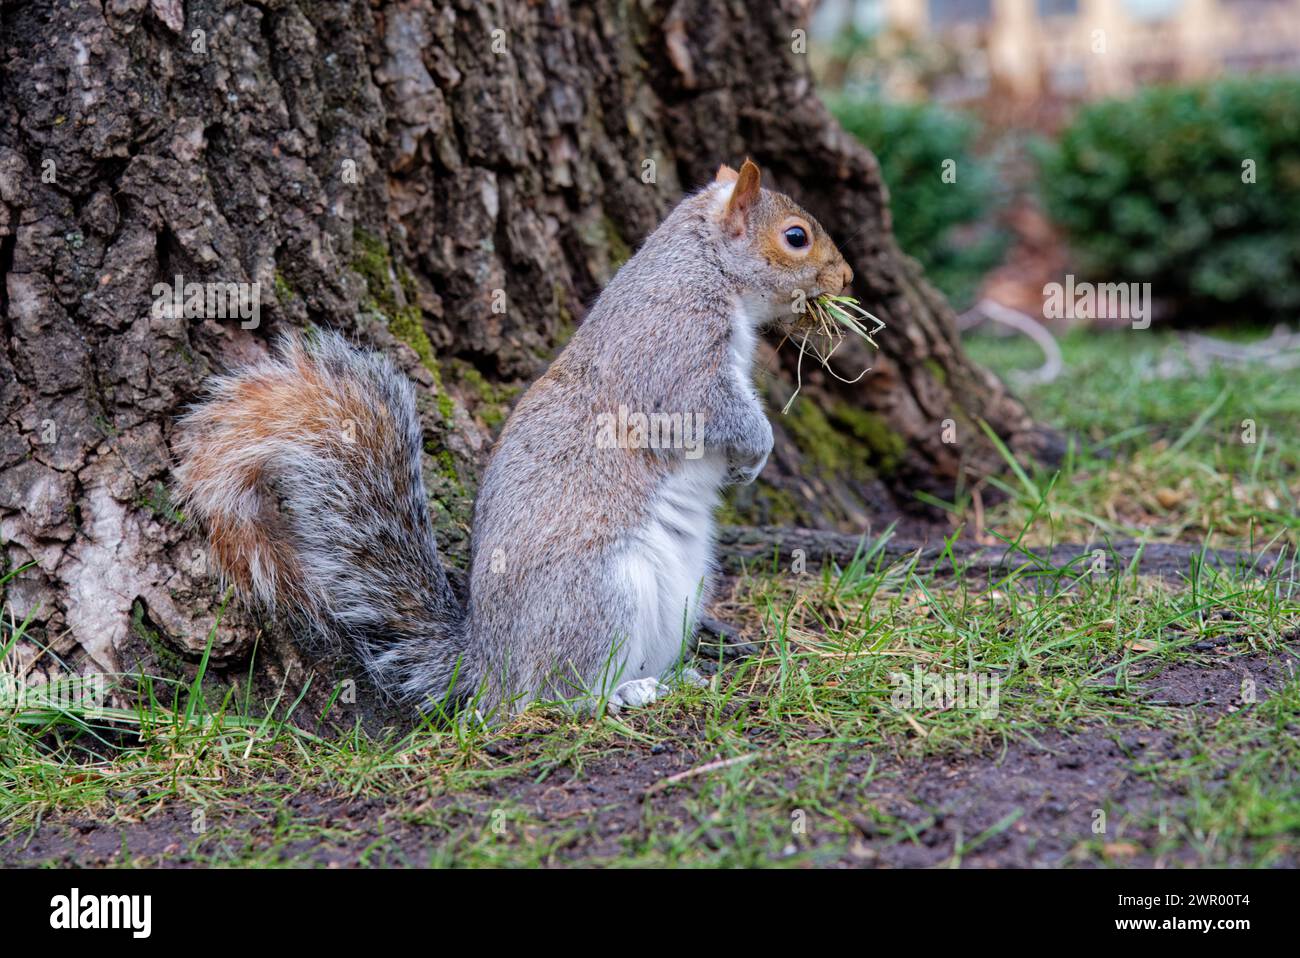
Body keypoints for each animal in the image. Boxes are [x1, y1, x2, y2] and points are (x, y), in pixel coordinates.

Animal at [174, 159, 853, 719]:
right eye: (796, 236)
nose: (846, 277)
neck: (705, 263)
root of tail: (488, 664)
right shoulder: (673, 350)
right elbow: (711, 411)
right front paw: (756, 449)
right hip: (595, 596)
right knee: (546, 696)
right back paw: (616, 695)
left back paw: (671, 679)